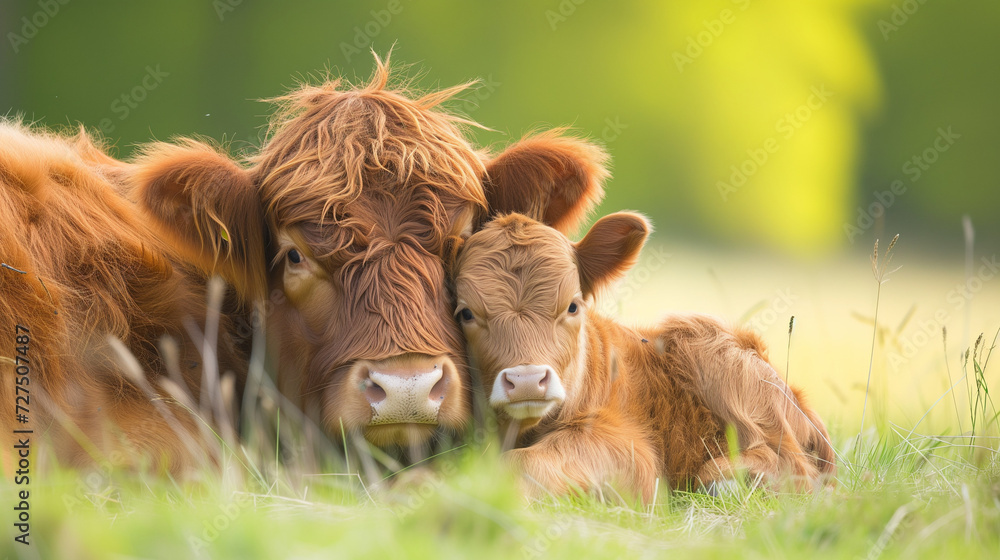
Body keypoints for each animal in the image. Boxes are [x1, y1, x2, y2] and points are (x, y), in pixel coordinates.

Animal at [450, 211, 837, 502]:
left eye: (572, 306)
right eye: (466, 313)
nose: (528, 381)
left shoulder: (629, 452)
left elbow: (522, 463)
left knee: (793, 465)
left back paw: (728, 478)